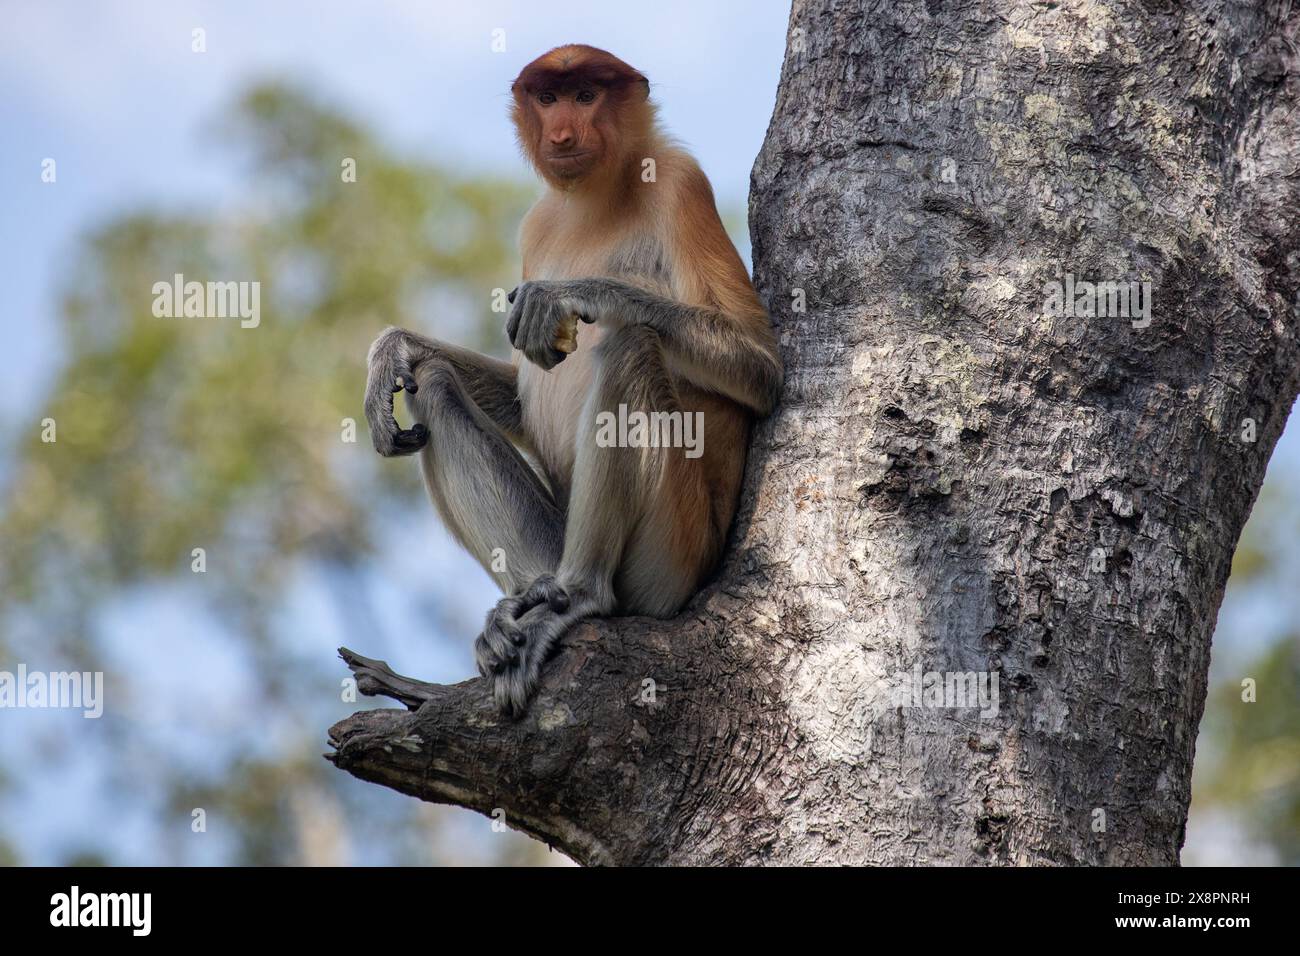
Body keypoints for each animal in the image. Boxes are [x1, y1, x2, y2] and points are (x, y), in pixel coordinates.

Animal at [364, 45, 782, 716]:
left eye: (587, 96)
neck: (594, 197)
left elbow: (762, 368)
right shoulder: (535, 225)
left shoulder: (681, 184)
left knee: (632, 345)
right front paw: (391, 353)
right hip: (552, 543)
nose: (561, 134)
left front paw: (572, 293)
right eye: (549, 98)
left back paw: (583, 597)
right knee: (437, 385)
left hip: (674, 556)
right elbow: (512, 388)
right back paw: (524, 608)